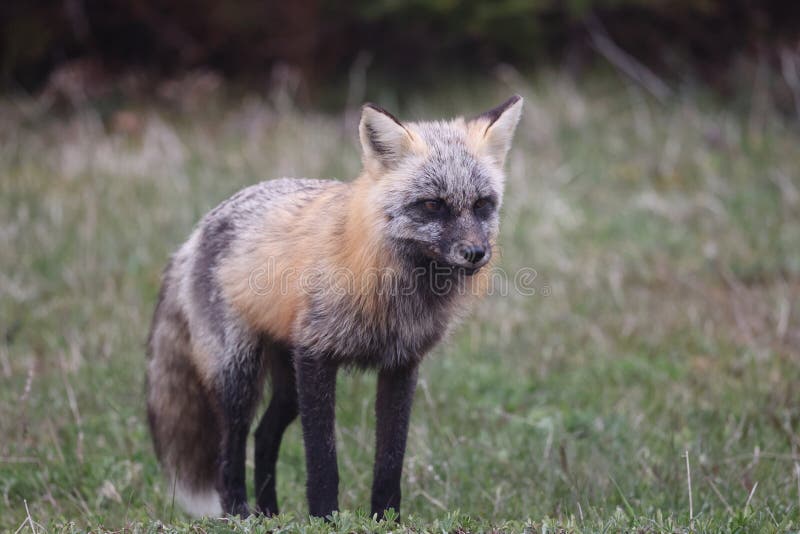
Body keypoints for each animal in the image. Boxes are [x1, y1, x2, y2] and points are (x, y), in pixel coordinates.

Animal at [145, 95, 523, 518]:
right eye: (432, 205)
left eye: (482, 204)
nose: (476, 253)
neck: (396, 294)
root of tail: (194, 235)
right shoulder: (315, 356)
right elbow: (323, 460)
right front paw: (325, 517)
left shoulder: (401, 364)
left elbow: (390, 460)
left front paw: (385, 519)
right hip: (239, 377)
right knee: (232, 448)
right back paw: (239, 514)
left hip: (287, 388)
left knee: (264, 436)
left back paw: (270, 514)